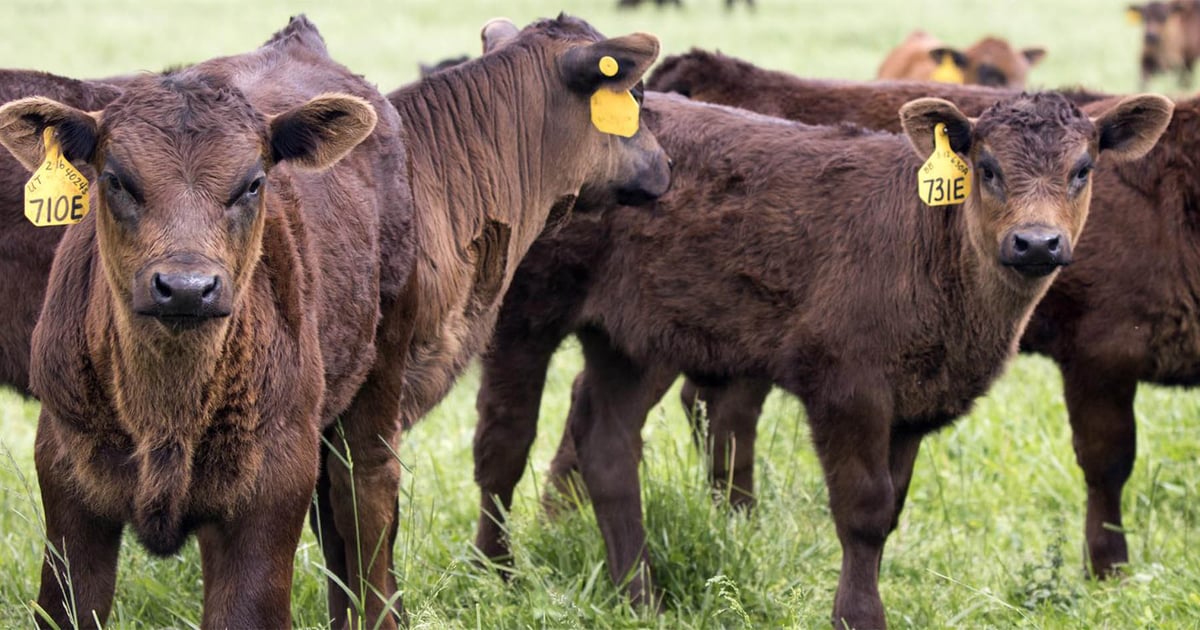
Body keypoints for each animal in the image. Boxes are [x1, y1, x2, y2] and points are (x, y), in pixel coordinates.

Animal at [470, 87, 1171, 627]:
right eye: (988, 167)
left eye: (1083, 169)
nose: (1036, 242)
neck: (930, 248)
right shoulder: (846, 385)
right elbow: (862, 510)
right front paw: (858, 616)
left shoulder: (911, 404)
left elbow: (890, 510)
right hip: (523, 312)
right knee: (503, 443)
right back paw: (494, 578)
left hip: (633, 337)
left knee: (608, 445)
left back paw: (638, 598)